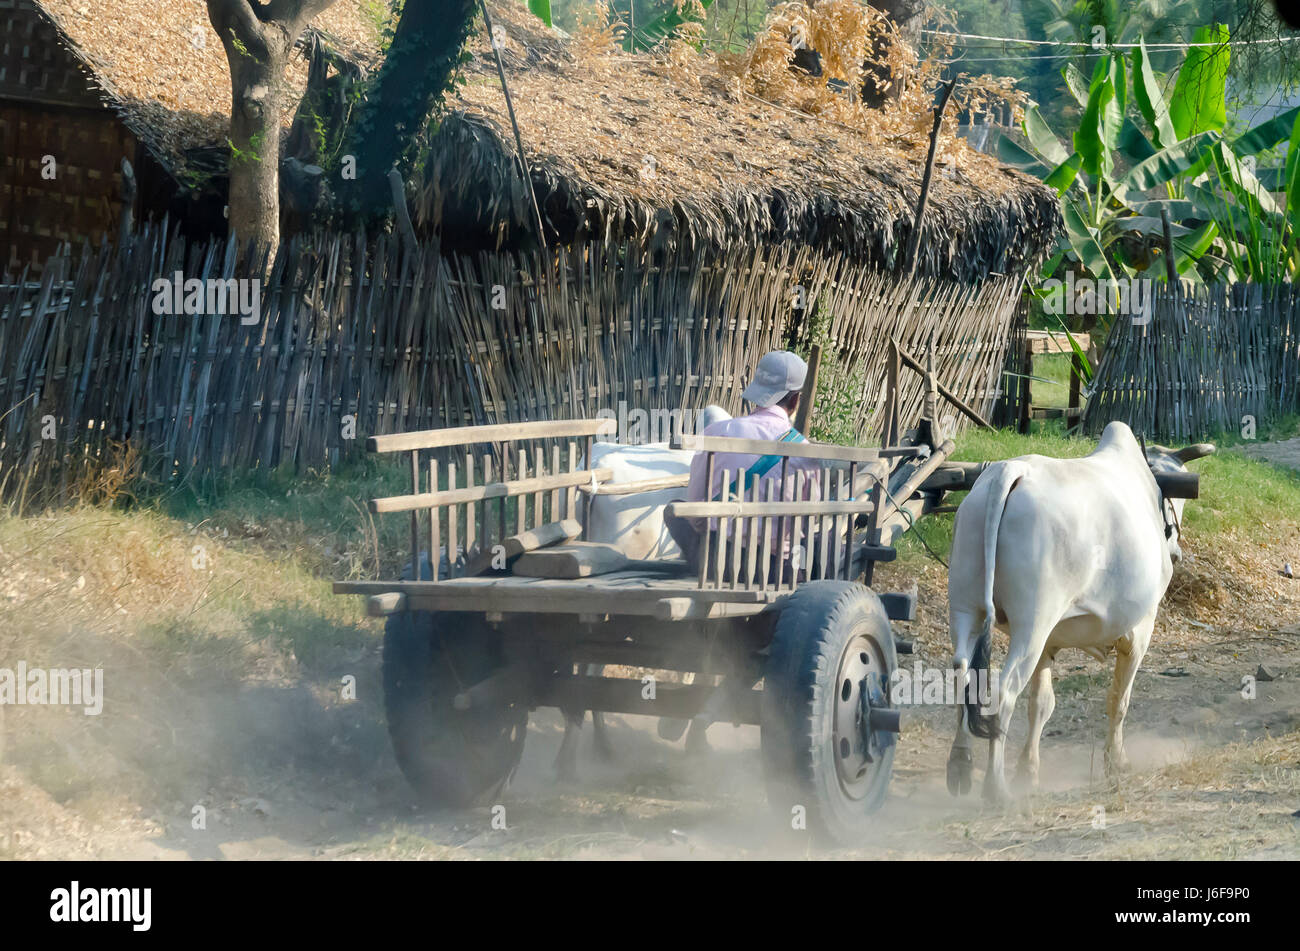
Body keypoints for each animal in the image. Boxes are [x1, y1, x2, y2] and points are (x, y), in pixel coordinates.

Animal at [945, 421, 1214, 805]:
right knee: (1004, 692)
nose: (1175, 552)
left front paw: (1029, 770)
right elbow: (1118, 699)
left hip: (966, 610)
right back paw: (996, 788)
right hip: (1032, 625)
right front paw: (1116, 761)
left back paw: (960, 767)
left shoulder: (1049, 643)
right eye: (1174, 503)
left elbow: (1041, 704)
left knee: (962, 675)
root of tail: (1008, 471)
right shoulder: (1139, 631)